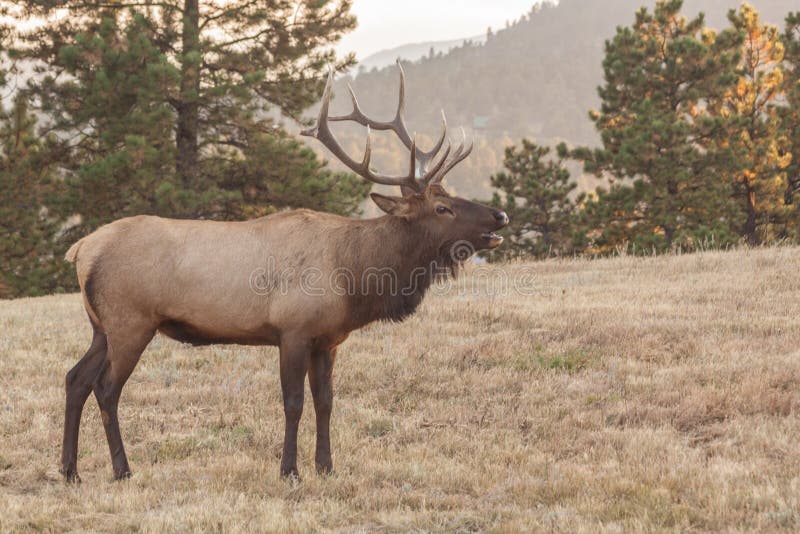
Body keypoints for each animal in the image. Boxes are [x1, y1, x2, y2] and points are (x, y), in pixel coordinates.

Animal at [60, 62, 509, 482]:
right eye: (442, 208)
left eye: (451, 196)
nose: (499, 215)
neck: (353, 278)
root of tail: (81, 250)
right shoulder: (292, 329)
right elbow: (293, 403)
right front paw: (289, 470)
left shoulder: (328, 340)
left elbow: (326, 401)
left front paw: (327, 466)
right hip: (130, 321)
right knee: (106, 388)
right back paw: (121, 469)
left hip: (101, 326)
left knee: (75, 378)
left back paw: (69, 470)